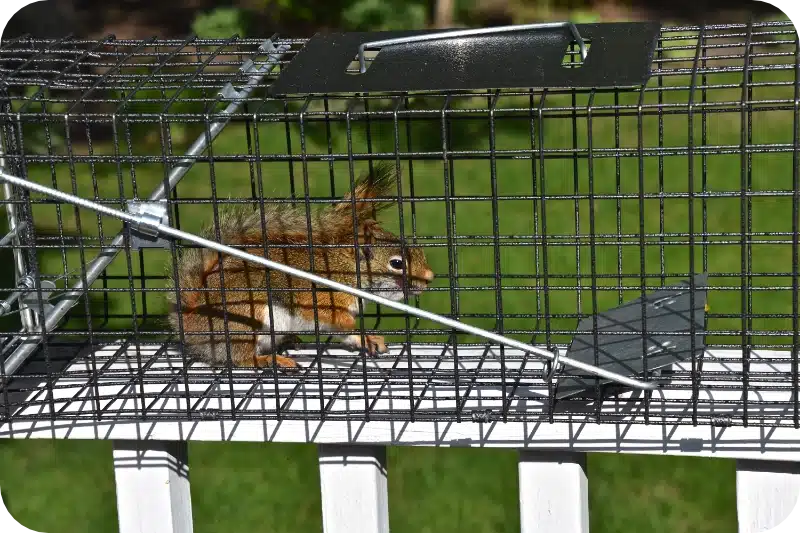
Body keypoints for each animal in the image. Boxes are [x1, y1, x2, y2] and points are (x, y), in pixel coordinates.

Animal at [166, 162, 435, 372]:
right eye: (396, 263)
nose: (429, 278)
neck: (346, 270)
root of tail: (189, 325)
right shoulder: (317, 297)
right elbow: (332, 316)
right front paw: (355, 326)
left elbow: (342, 333)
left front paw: (366, 339)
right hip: (243, 319)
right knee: (242, 357)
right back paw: (270, 360)